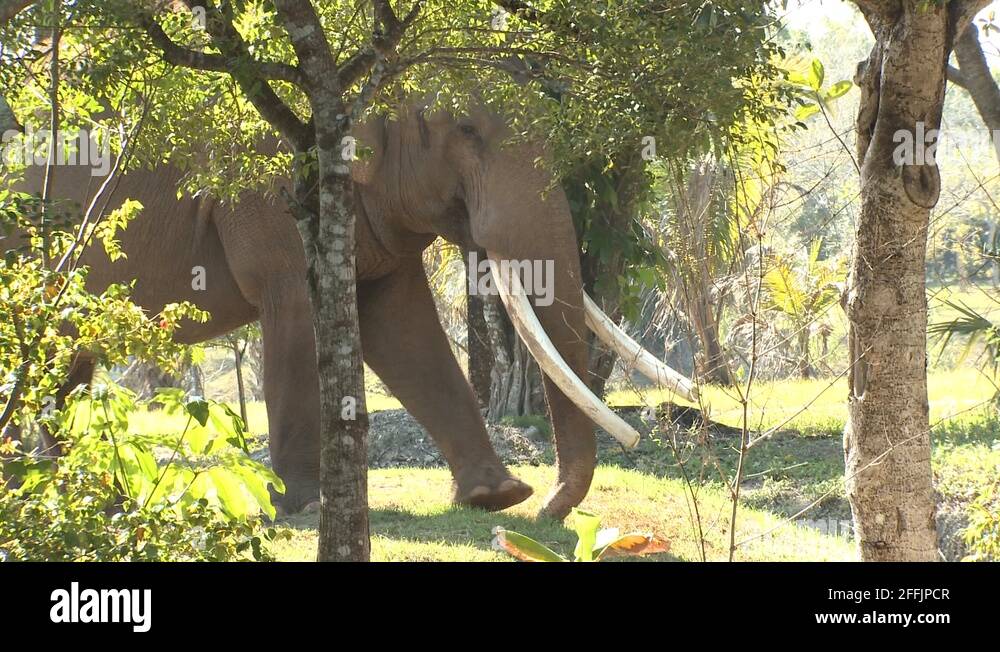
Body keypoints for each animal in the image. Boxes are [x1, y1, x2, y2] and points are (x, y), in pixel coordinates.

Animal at [3, 107, 695, 519]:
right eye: (465, 131)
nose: (550, 510)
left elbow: (402, 325)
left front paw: (496, 497)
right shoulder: (274, 186)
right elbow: (297, 309)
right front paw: (305, 509)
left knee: (63, 367)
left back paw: (79, 500)